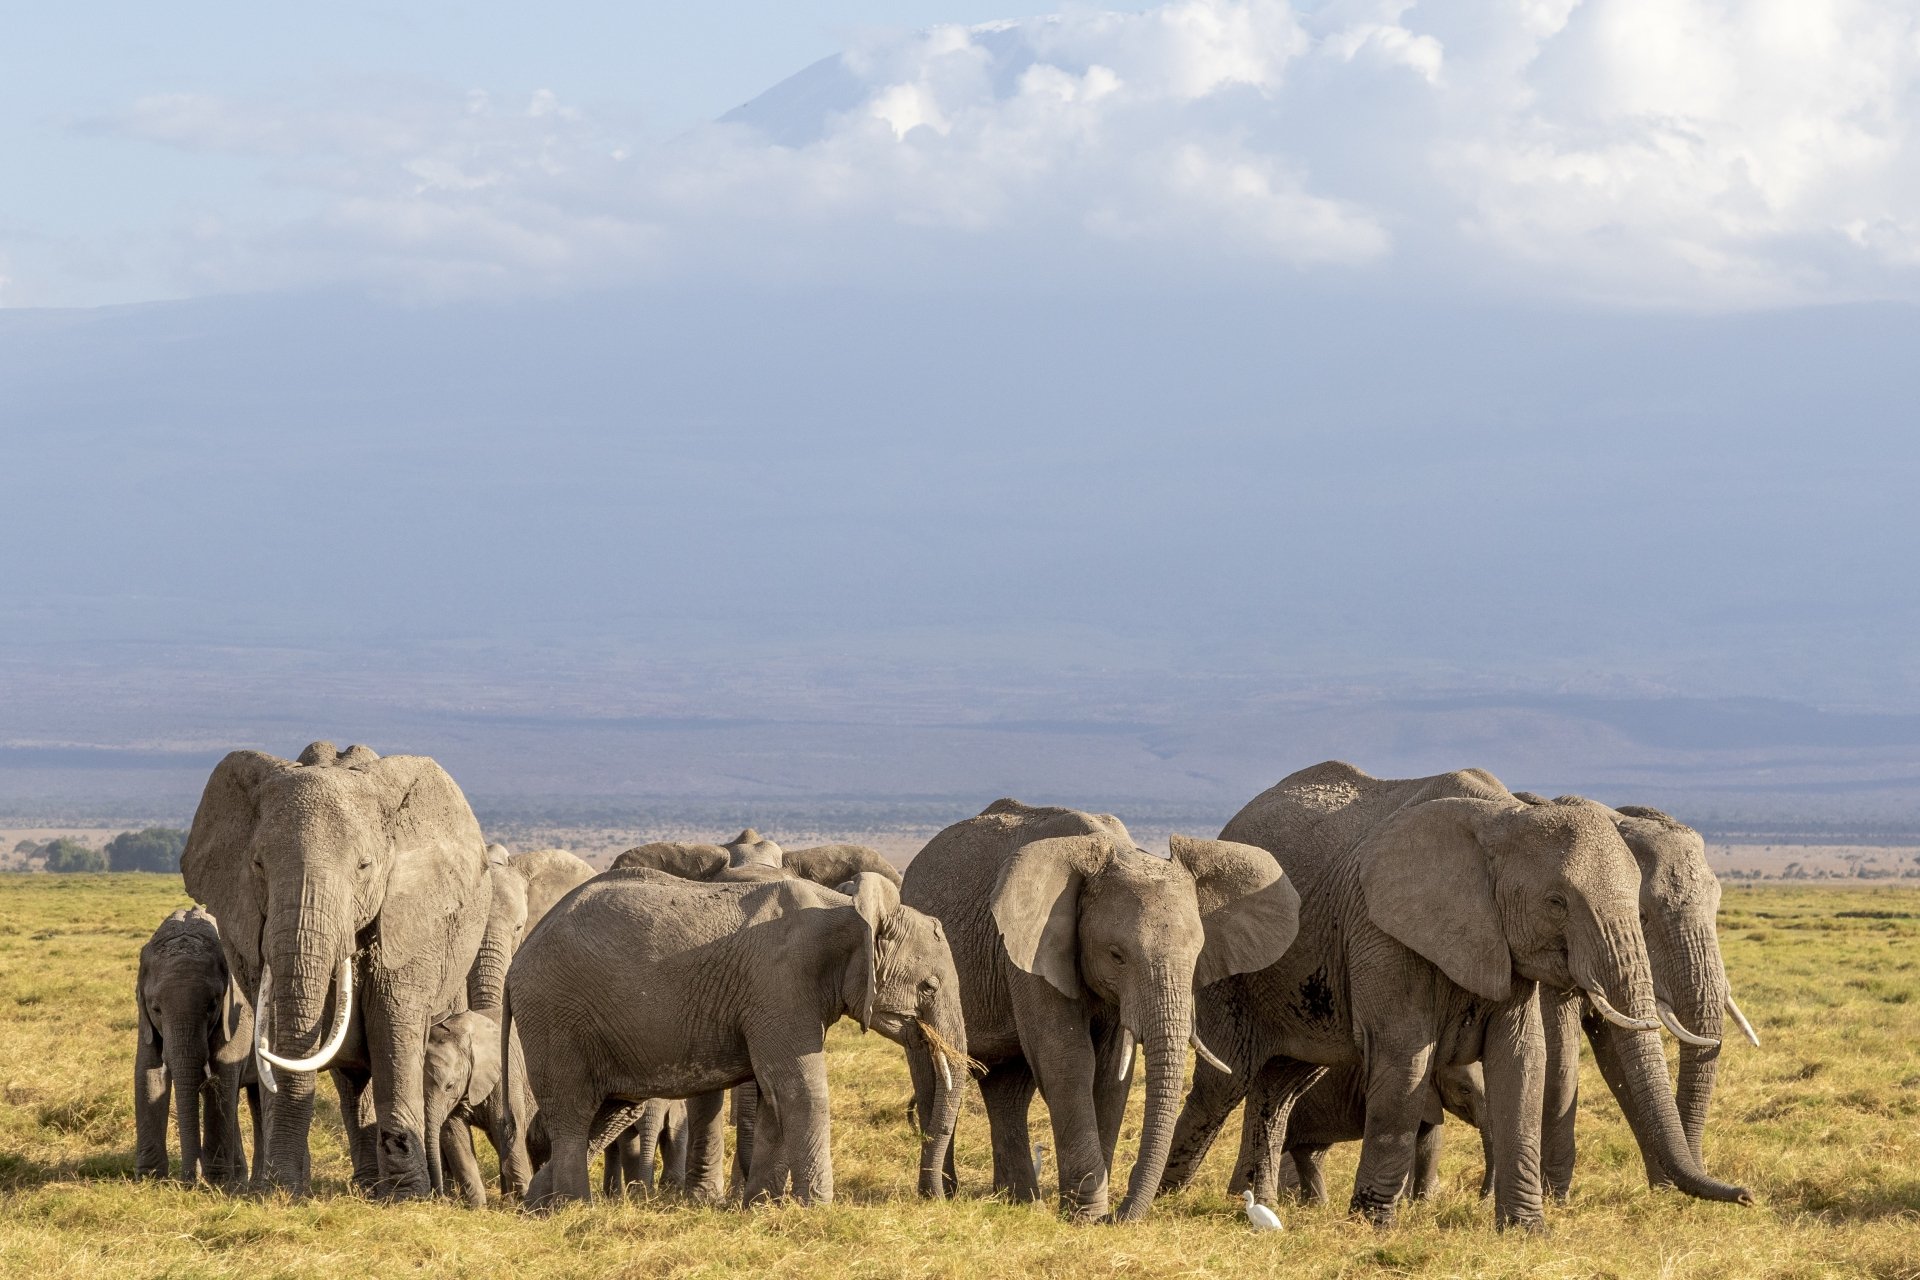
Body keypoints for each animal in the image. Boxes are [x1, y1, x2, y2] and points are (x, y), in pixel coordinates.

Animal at [134, 908, 262, 1187]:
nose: (189, 1181)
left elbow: (222, 1074)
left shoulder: (237, 1016)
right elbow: (148, 1073)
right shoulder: (143, 1020)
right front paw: (150, 1180)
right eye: (156, 1009)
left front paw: (216, 1182)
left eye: (212, 1005)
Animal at [181, 741, 492, 1197]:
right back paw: (366, 1186)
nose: (279, 1187)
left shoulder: (413, 920)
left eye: (364, 866)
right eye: (257, 864)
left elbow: (393, 1028)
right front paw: (279, 1190)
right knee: (351, 1080)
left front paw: (408, 1196)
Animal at [505, 868, 969, 1207]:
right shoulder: (779, 985)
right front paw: (818, 1209)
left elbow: (773, 1095)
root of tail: (517, 962)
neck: (849, 911)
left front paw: (760, 1208)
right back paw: (571, 1208)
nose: (936, 1197)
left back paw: (536, 1206)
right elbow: (800, 1089)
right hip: (555, 1015)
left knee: (609, 1111)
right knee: (573, 1109)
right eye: (929, 987)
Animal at [899, 799, 1299, 1222]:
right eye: (1117, 955)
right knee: (933, 1075)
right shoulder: (1033, 948)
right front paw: (1087, 1214)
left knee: (1008, 1086)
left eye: (1197, 956)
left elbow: (1110, 1072)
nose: (1120, 1216)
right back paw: (940, 1195)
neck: (1120, 852)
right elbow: (1069, 1059)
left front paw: (1090, 1213)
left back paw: (1021, 1201)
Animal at [1156, 762, 1751, 1231]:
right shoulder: (1382, 928)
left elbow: (1525, 1061)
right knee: (1226, 1080)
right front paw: (1372, 1223)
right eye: (1557, 902)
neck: (1503, 817)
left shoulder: (1505, 944)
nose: (1745, 1195)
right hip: (1229, 961)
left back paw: (1251, 1202)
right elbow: (1409, 1058)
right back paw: (1171, 1201)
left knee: (1280, 1084)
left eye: (1637, 910)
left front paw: (1528, 1229)